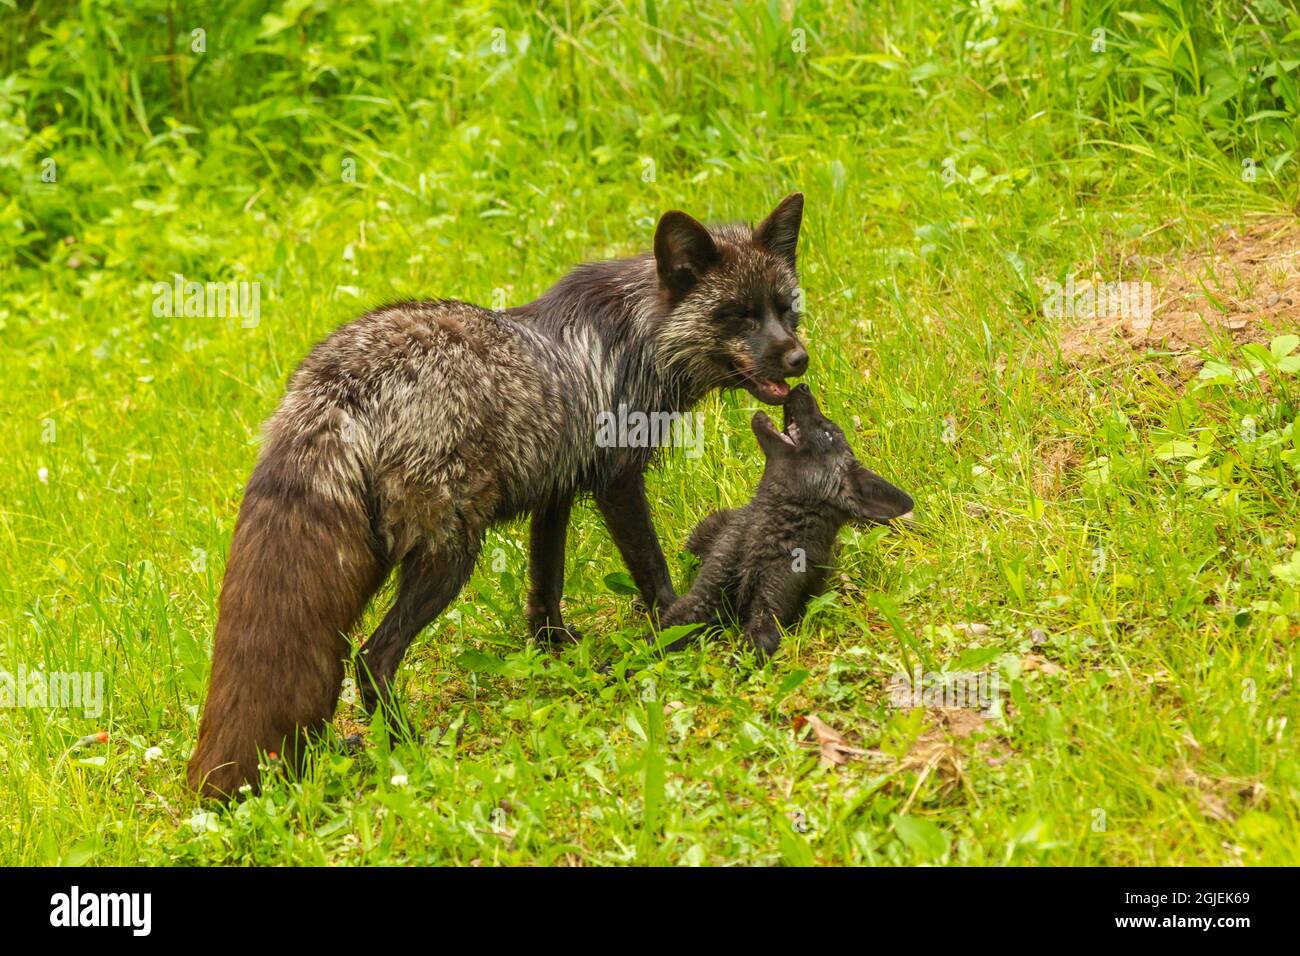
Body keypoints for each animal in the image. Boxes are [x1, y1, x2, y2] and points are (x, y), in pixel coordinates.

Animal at [188, 193, 810, 798]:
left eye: (785, 309)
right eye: (738, 314)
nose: (800, 358)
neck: (638, 335)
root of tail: (337, 386)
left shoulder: (556, 489)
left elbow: (545, 585)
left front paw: (558, 653)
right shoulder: (616, 481)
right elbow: (651, 570)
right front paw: (678, 631)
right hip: (451, 556)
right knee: (371, 659)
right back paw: (408, 749)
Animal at [656, 384, 913, 658]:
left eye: (828, 434)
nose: (803, 386)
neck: (764, 537)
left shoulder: (770, 615)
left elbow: (744, 656)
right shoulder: (700, 598)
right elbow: (653, 641)